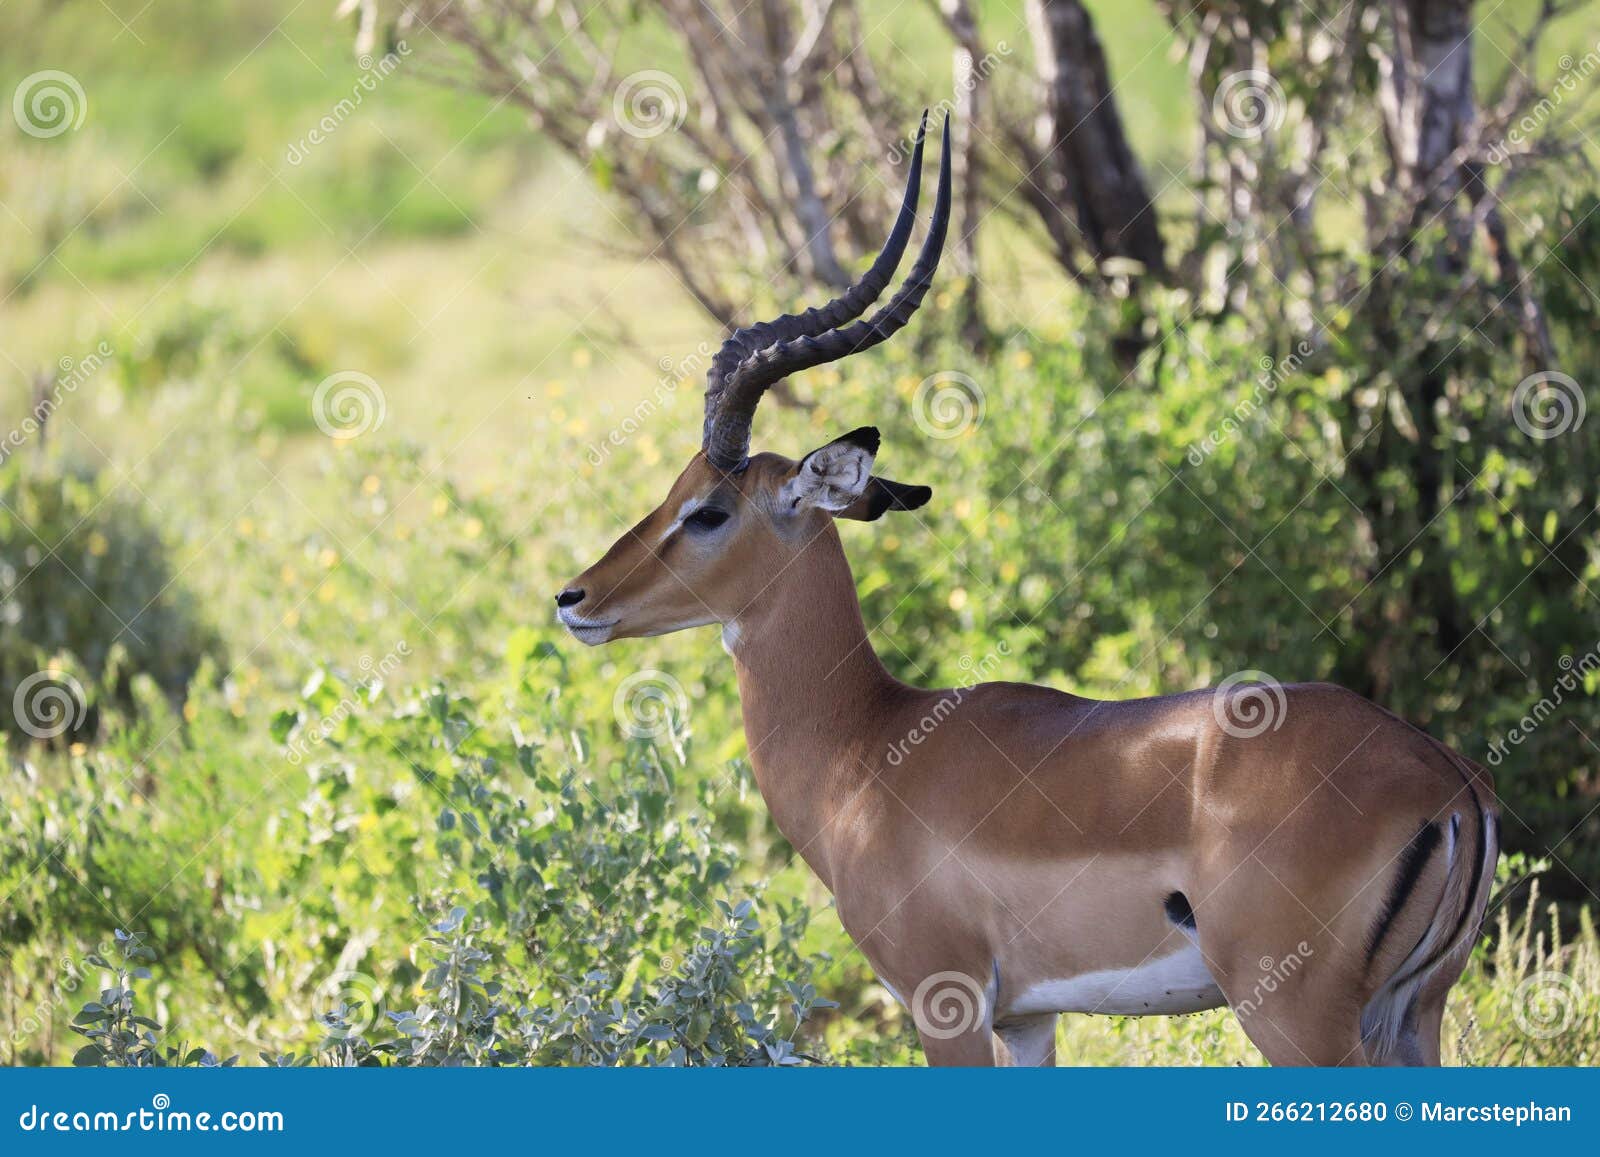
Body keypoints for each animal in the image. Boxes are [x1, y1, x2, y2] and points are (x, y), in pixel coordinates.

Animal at [556, 118, 1499, 1066]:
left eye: (707, 511)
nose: (575, 597)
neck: (866, 749)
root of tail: (1450, 780)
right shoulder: (1028, 1019)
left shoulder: (946, 1003)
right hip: (1413, 1013)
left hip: (1299, 1019)